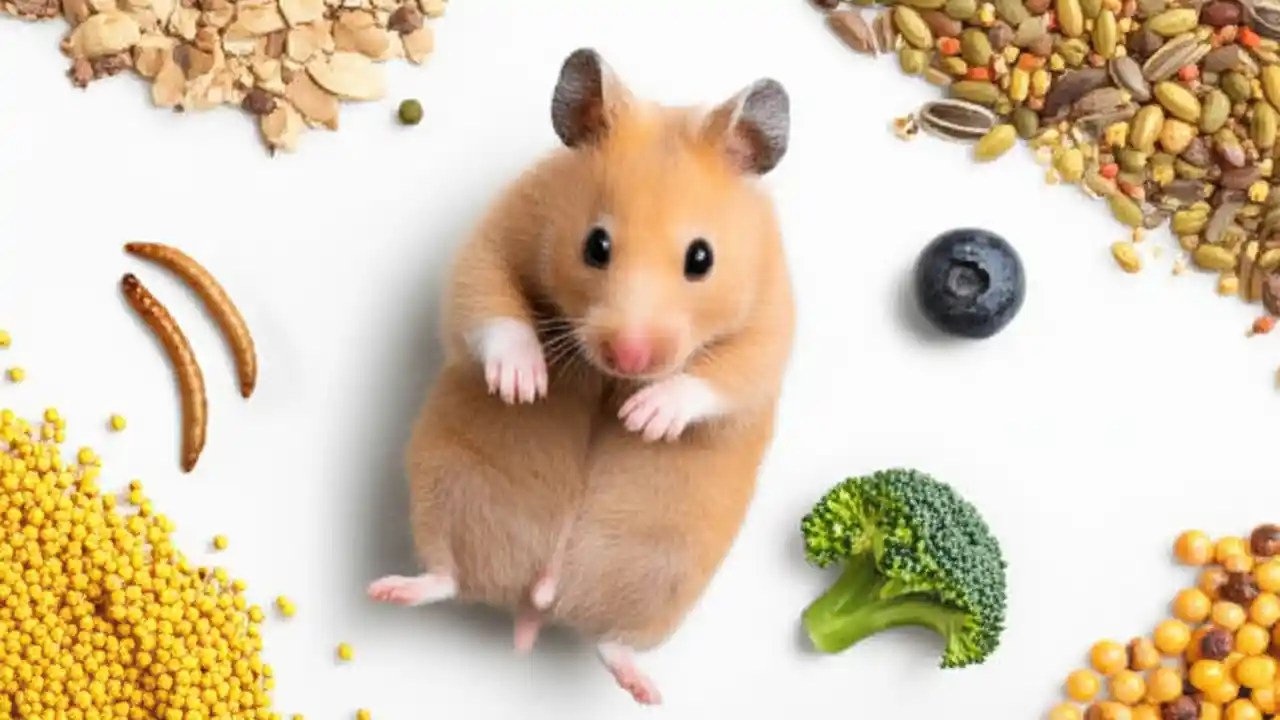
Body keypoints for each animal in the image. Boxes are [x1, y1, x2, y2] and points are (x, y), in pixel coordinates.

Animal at [368, 47, 796, 706]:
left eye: (702, 258)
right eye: (596, 245)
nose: (630, 358)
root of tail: (539, 596)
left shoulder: (772, 317)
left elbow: (726, 374)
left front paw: (644, 417)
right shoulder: (498, 235)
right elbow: (491, 304)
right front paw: (525, 384)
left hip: (671, 577)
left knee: (609, 642)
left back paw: (646, 692)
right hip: (442, 487)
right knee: (447, 577)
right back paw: (389, 590)